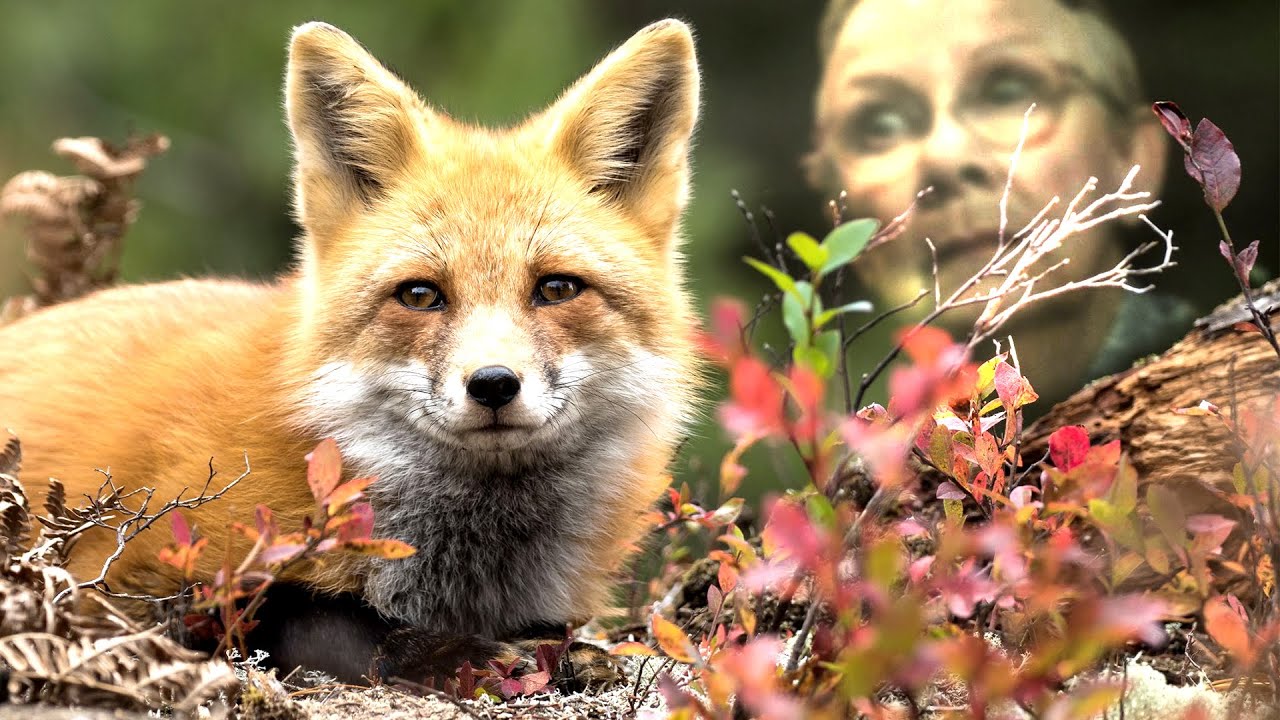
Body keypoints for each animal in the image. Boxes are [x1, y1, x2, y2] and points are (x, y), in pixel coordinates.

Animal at [0, 20, 701, 684]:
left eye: (556, 288)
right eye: (420, 294)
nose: (494, 384)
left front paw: (567, 651)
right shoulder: (120, 578)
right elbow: (318, 616)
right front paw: (454, 653)